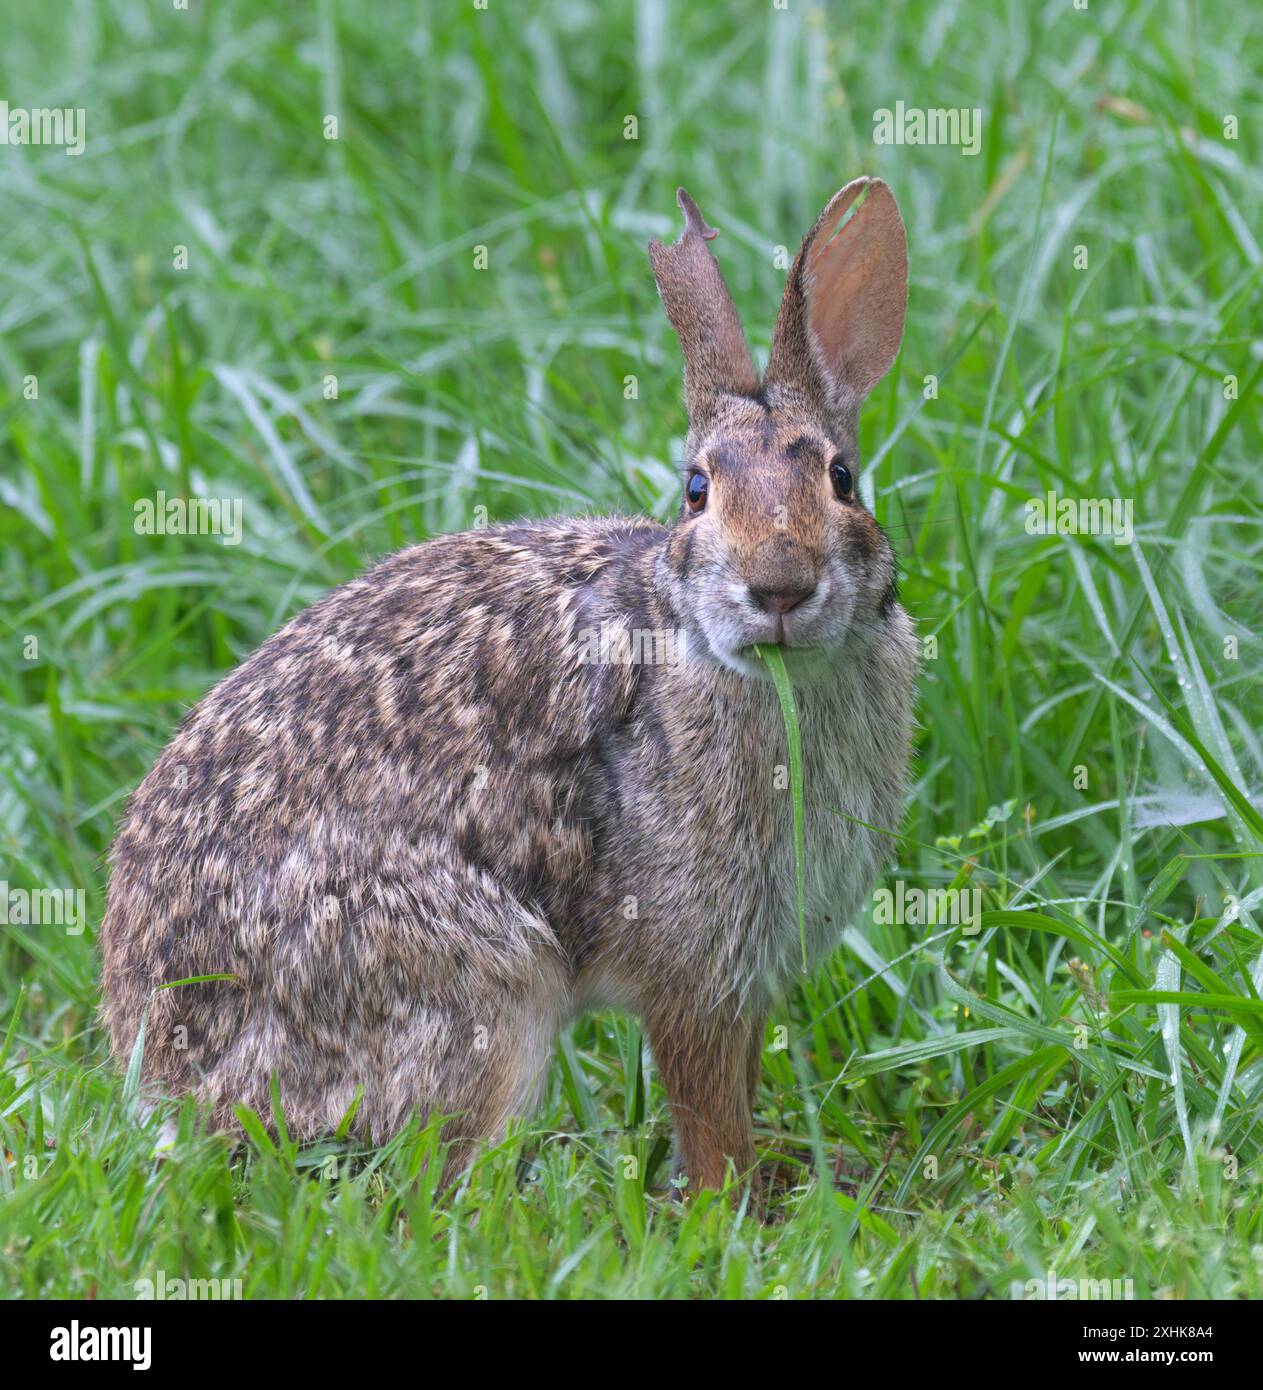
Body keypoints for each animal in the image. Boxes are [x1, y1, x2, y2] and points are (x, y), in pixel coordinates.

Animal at [100, 176, 917, 1194]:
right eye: (695, 491)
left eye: (842, 480)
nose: (778, 585)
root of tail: (169, 1078)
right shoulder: (693, 971)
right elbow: (707, 1109)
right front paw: (732, 1208)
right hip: (482, 989)